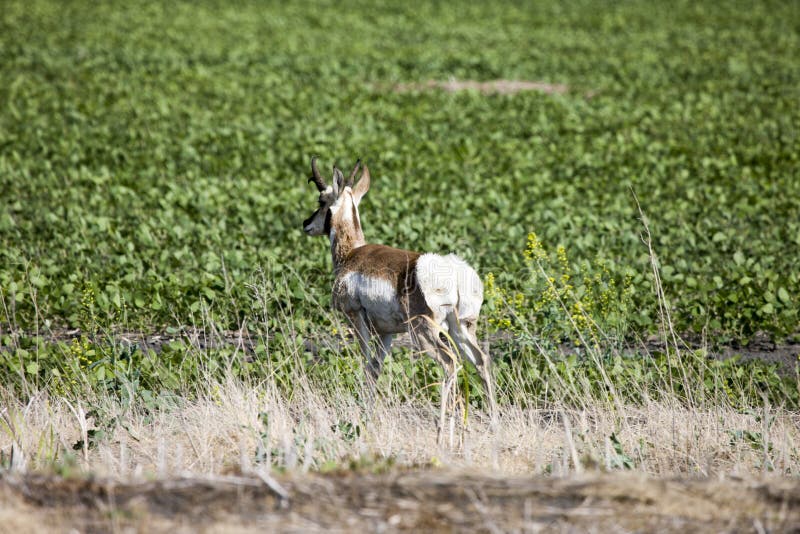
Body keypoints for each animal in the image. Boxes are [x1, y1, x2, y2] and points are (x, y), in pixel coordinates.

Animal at [302, 157, 496, 438]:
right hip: (461, 328)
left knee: (450, 363)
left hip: (425, 333)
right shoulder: (388, 332)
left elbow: (366, 366)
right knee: (481, 360)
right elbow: (376, 369)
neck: (352, 254)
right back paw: (493, 425)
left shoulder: (356, 319)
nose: (306, 223)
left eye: (321, 200)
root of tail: (453, 270)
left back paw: (441, 432)